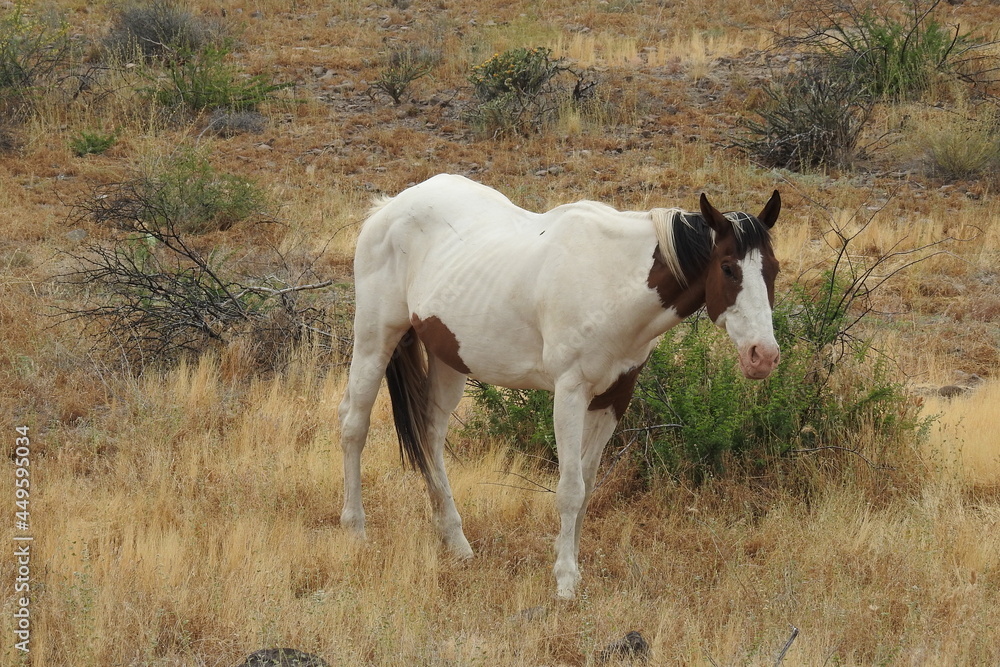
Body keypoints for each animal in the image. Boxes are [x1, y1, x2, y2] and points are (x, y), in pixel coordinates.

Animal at [338, 174, 781, 599]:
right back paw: (356, 530)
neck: (612, 280)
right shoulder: (570, 392)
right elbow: (570, 488)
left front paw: (572, 564)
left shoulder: (614, 398)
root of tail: (388, 208)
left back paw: (456, 541)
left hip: (449, 358)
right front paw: (565, 581)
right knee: (354, 425)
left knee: (430, 434)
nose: (763, 356)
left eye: (773, 270)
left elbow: (586, 486)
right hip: (376, 340)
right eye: (728, 267)